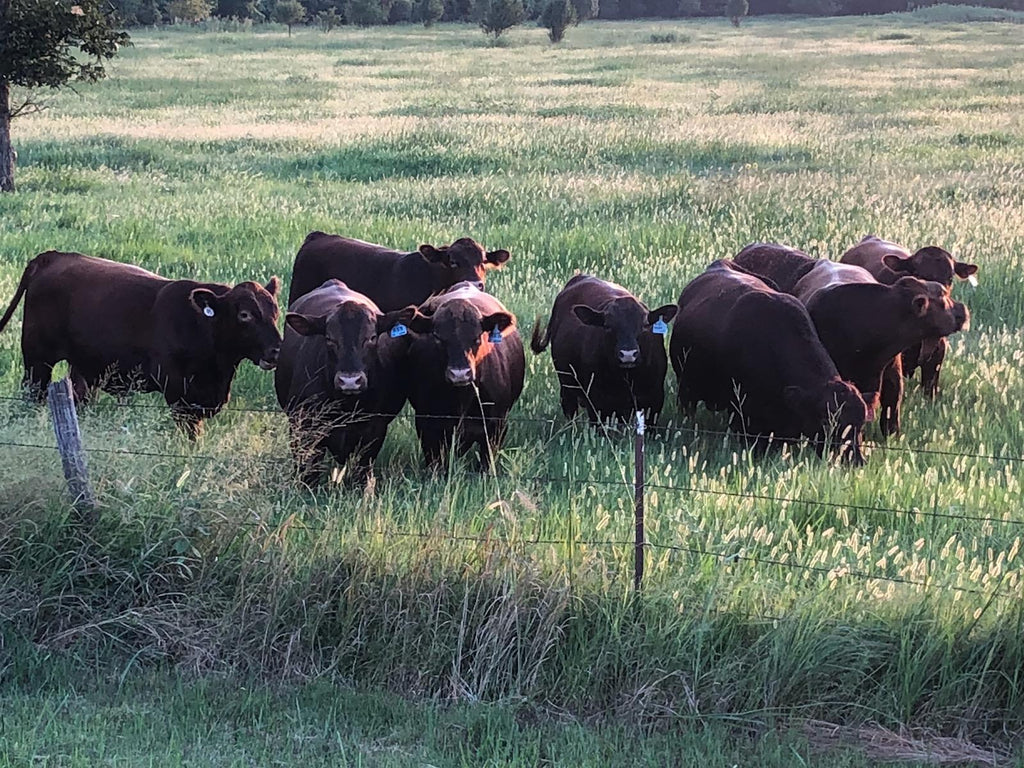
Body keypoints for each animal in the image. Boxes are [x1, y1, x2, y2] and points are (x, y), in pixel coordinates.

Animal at [0, 250, 282, 439]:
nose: (276, 349)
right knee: (34, 394)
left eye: (275, 311)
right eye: (244, 315)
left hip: (81, 365)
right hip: (38, 360)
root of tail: (52, 256)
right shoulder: (178, 394)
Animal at [275, 280, 418, 486]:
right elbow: (308, 470)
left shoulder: (374, 429)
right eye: (329, 339)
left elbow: (362, 471)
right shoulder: (305, 425)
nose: (350, 381)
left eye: (372, 337)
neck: (346, 405)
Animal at [530, 274, 677, 424]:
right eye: (607, 326)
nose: (628, 354)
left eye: (645, 325)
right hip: (566, 386)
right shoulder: (597, 402)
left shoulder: (654, 400)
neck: (627, 378)